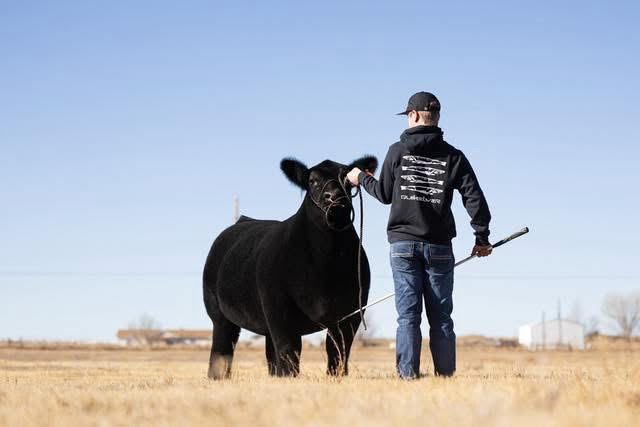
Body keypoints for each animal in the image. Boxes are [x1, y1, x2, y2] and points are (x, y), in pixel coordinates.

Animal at [203, 155, 378, 379]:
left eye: (347, 179)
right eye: (312, 181)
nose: (334, 197)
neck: (325, 261)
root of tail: (242, 220)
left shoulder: (352, 310)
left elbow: (338, 350)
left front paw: (336, 376)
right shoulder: (279, 308)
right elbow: (289, 349)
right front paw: (290, 378)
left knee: (270, 353)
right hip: (219, 312)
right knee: (222, 348)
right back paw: (217, 376)